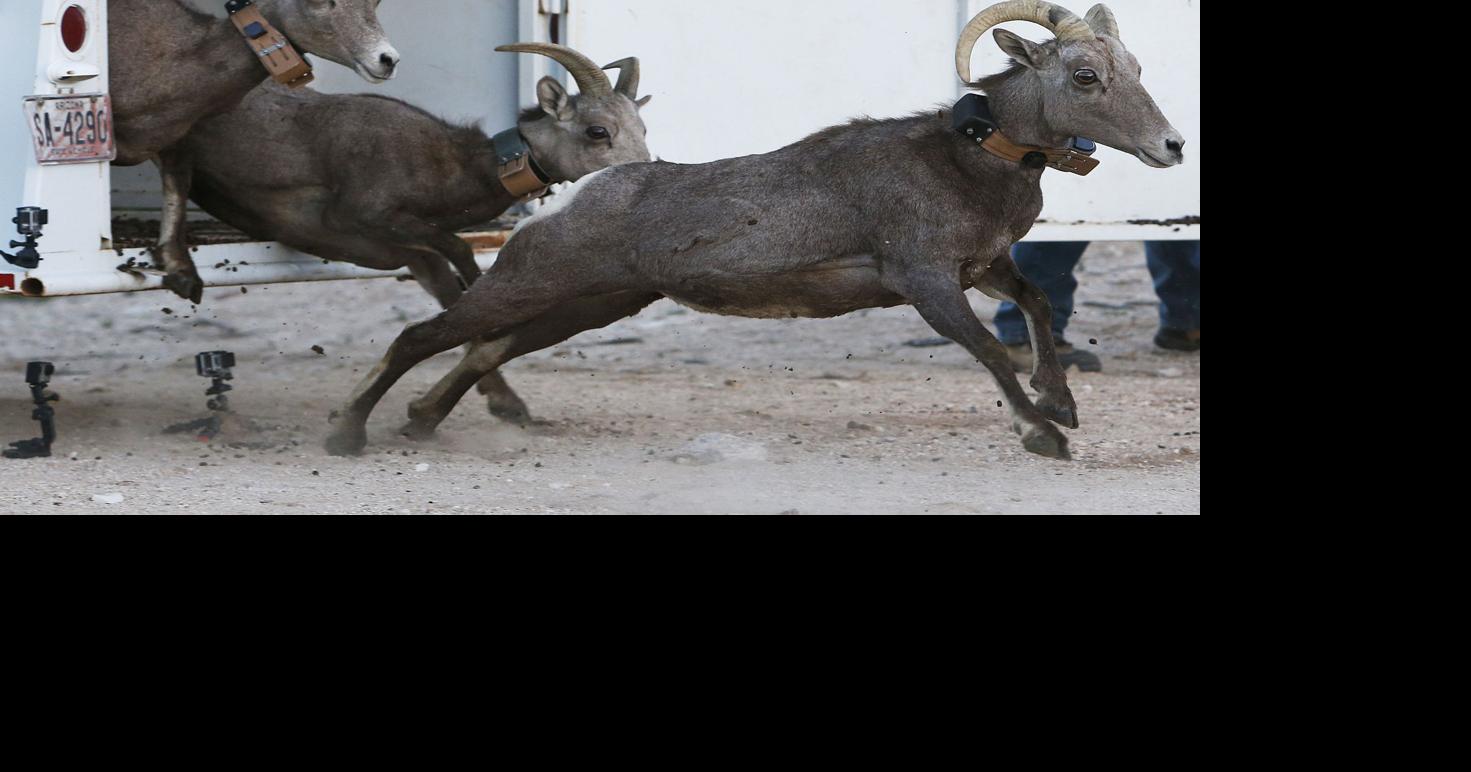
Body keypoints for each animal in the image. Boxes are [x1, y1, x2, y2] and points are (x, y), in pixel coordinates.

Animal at [324, 2, 1187, 462]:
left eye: (1136, 68)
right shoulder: (927, 283)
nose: (1170, 146)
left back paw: (420, 421)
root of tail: (584, 193)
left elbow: (1035, 305)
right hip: (530, 284)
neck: (969, 161)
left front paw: (1061, 404)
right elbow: (988, 350)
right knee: (421, 336)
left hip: (591, 305)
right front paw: (1043, 435)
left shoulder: (984, 268)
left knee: (483, 348)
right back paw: (348, 434)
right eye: (1084, 77)